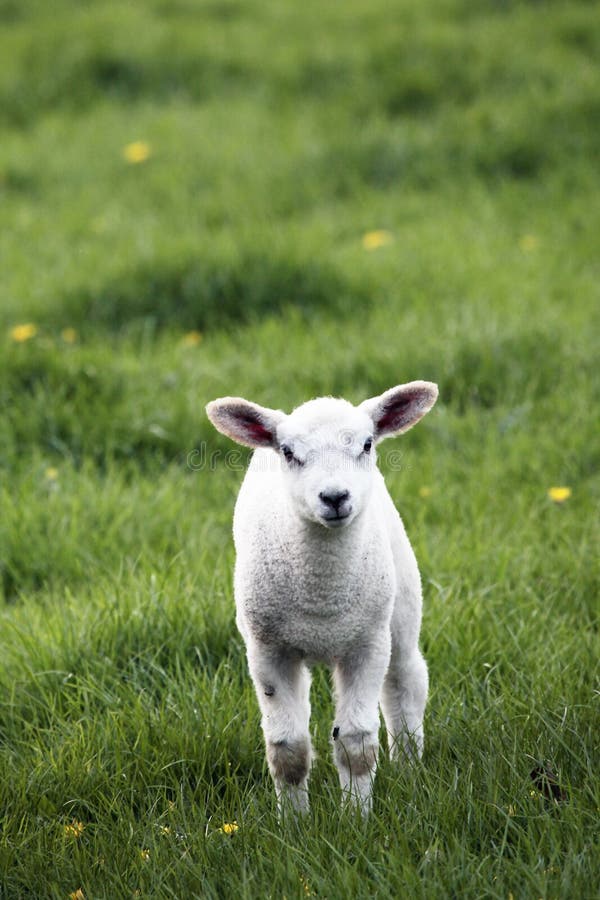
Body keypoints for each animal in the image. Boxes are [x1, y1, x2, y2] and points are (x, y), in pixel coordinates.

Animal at [206, 381, 438, 815]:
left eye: (366, 444)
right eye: (288, 452)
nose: (334, 497)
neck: (322, 595)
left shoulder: (366, 645)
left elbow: (356, 744)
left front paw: (356, 819)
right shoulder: (268, 651)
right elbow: (288, 749)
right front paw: (294, 823)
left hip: (399, 609)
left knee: (405, 684)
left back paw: (410, 774)